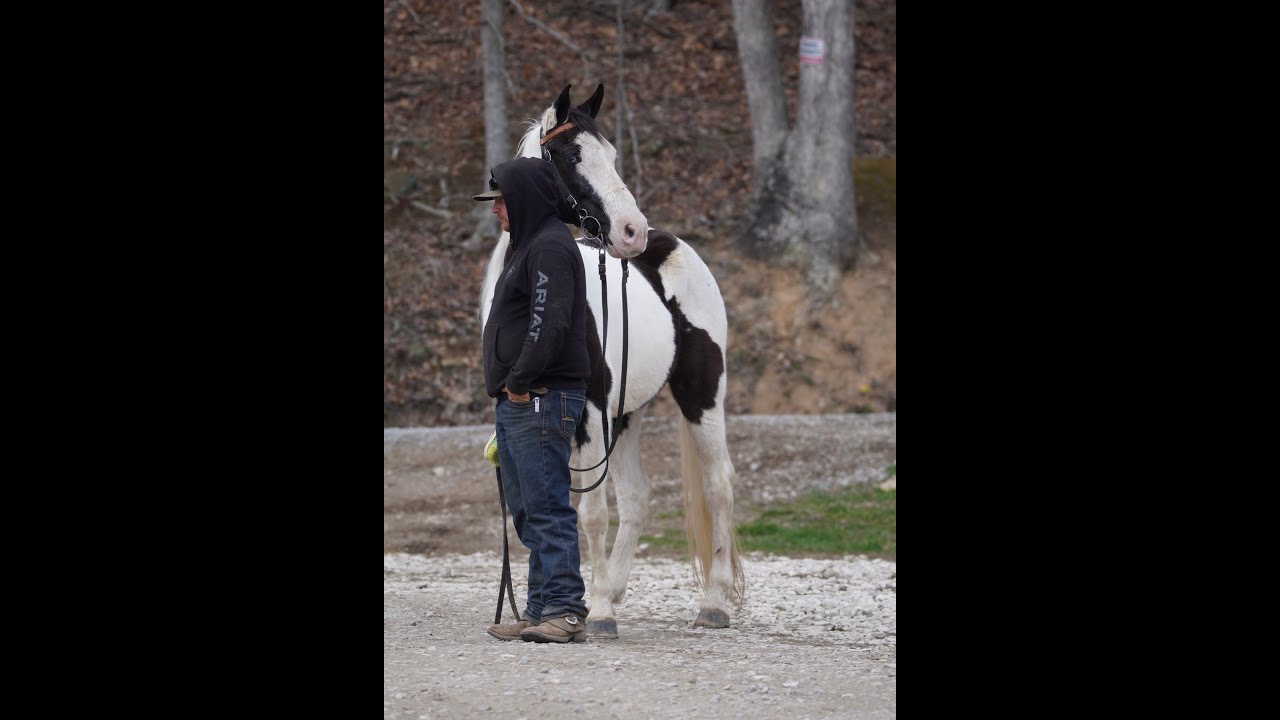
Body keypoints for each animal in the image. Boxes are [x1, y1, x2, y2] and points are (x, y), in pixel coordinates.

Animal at [479, 84, 744, 638]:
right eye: (571, 157)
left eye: (614, 156)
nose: (630, 231)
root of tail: (670, 245)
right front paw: (580, 606)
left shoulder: (591, 410)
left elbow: (591, 513)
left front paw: (595, 612)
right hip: (628, 413)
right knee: (638, 495)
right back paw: (620, 589)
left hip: (701, 397)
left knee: (719, 485)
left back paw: (712, 603)